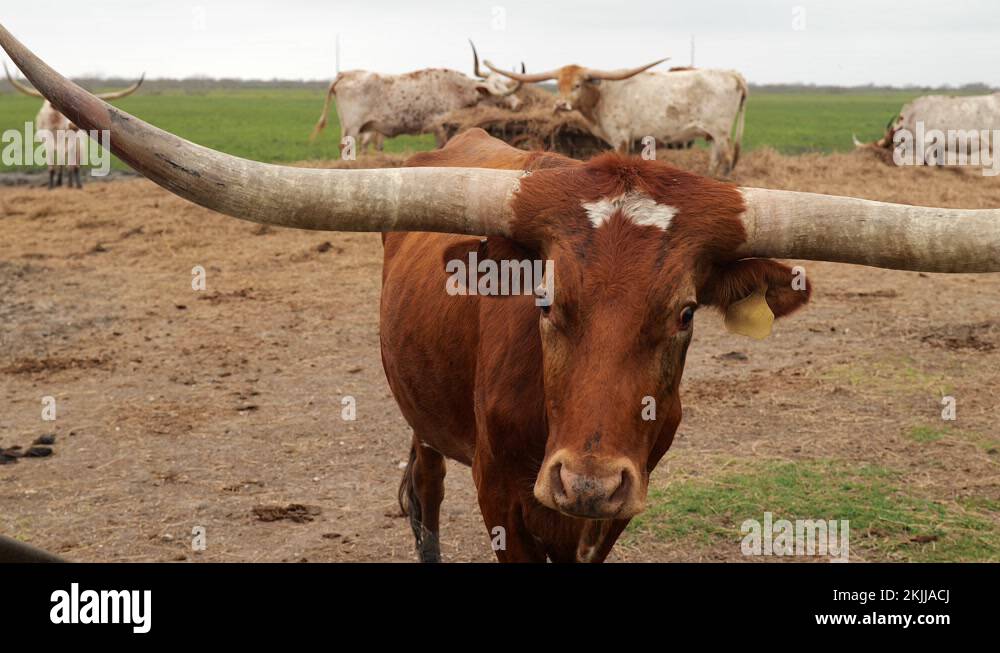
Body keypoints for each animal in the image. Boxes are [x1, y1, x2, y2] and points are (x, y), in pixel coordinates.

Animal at [4, 61, 143, 189]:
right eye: (63, 109)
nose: (74, 126)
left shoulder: (75, 144)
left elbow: (71, 165)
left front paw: (72, 183)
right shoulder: (48, 144)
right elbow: (52, 166)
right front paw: (51, 185)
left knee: (73, 166)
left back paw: (74, 183)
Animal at [309, 41, 524, 154]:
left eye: (503, 83)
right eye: (497, 86)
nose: (518, 103)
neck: (456, 88)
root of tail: (345, 73)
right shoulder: (440, 126)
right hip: (351, 127)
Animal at [485, 60, 748, 177]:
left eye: (578, 84)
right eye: (559, 84)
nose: (561, 104)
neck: (602, 96)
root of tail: (733, 75)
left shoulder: (621, 136)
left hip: (720, 131)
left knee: (726, 159)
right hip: (714, 135)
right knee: (716, 159)